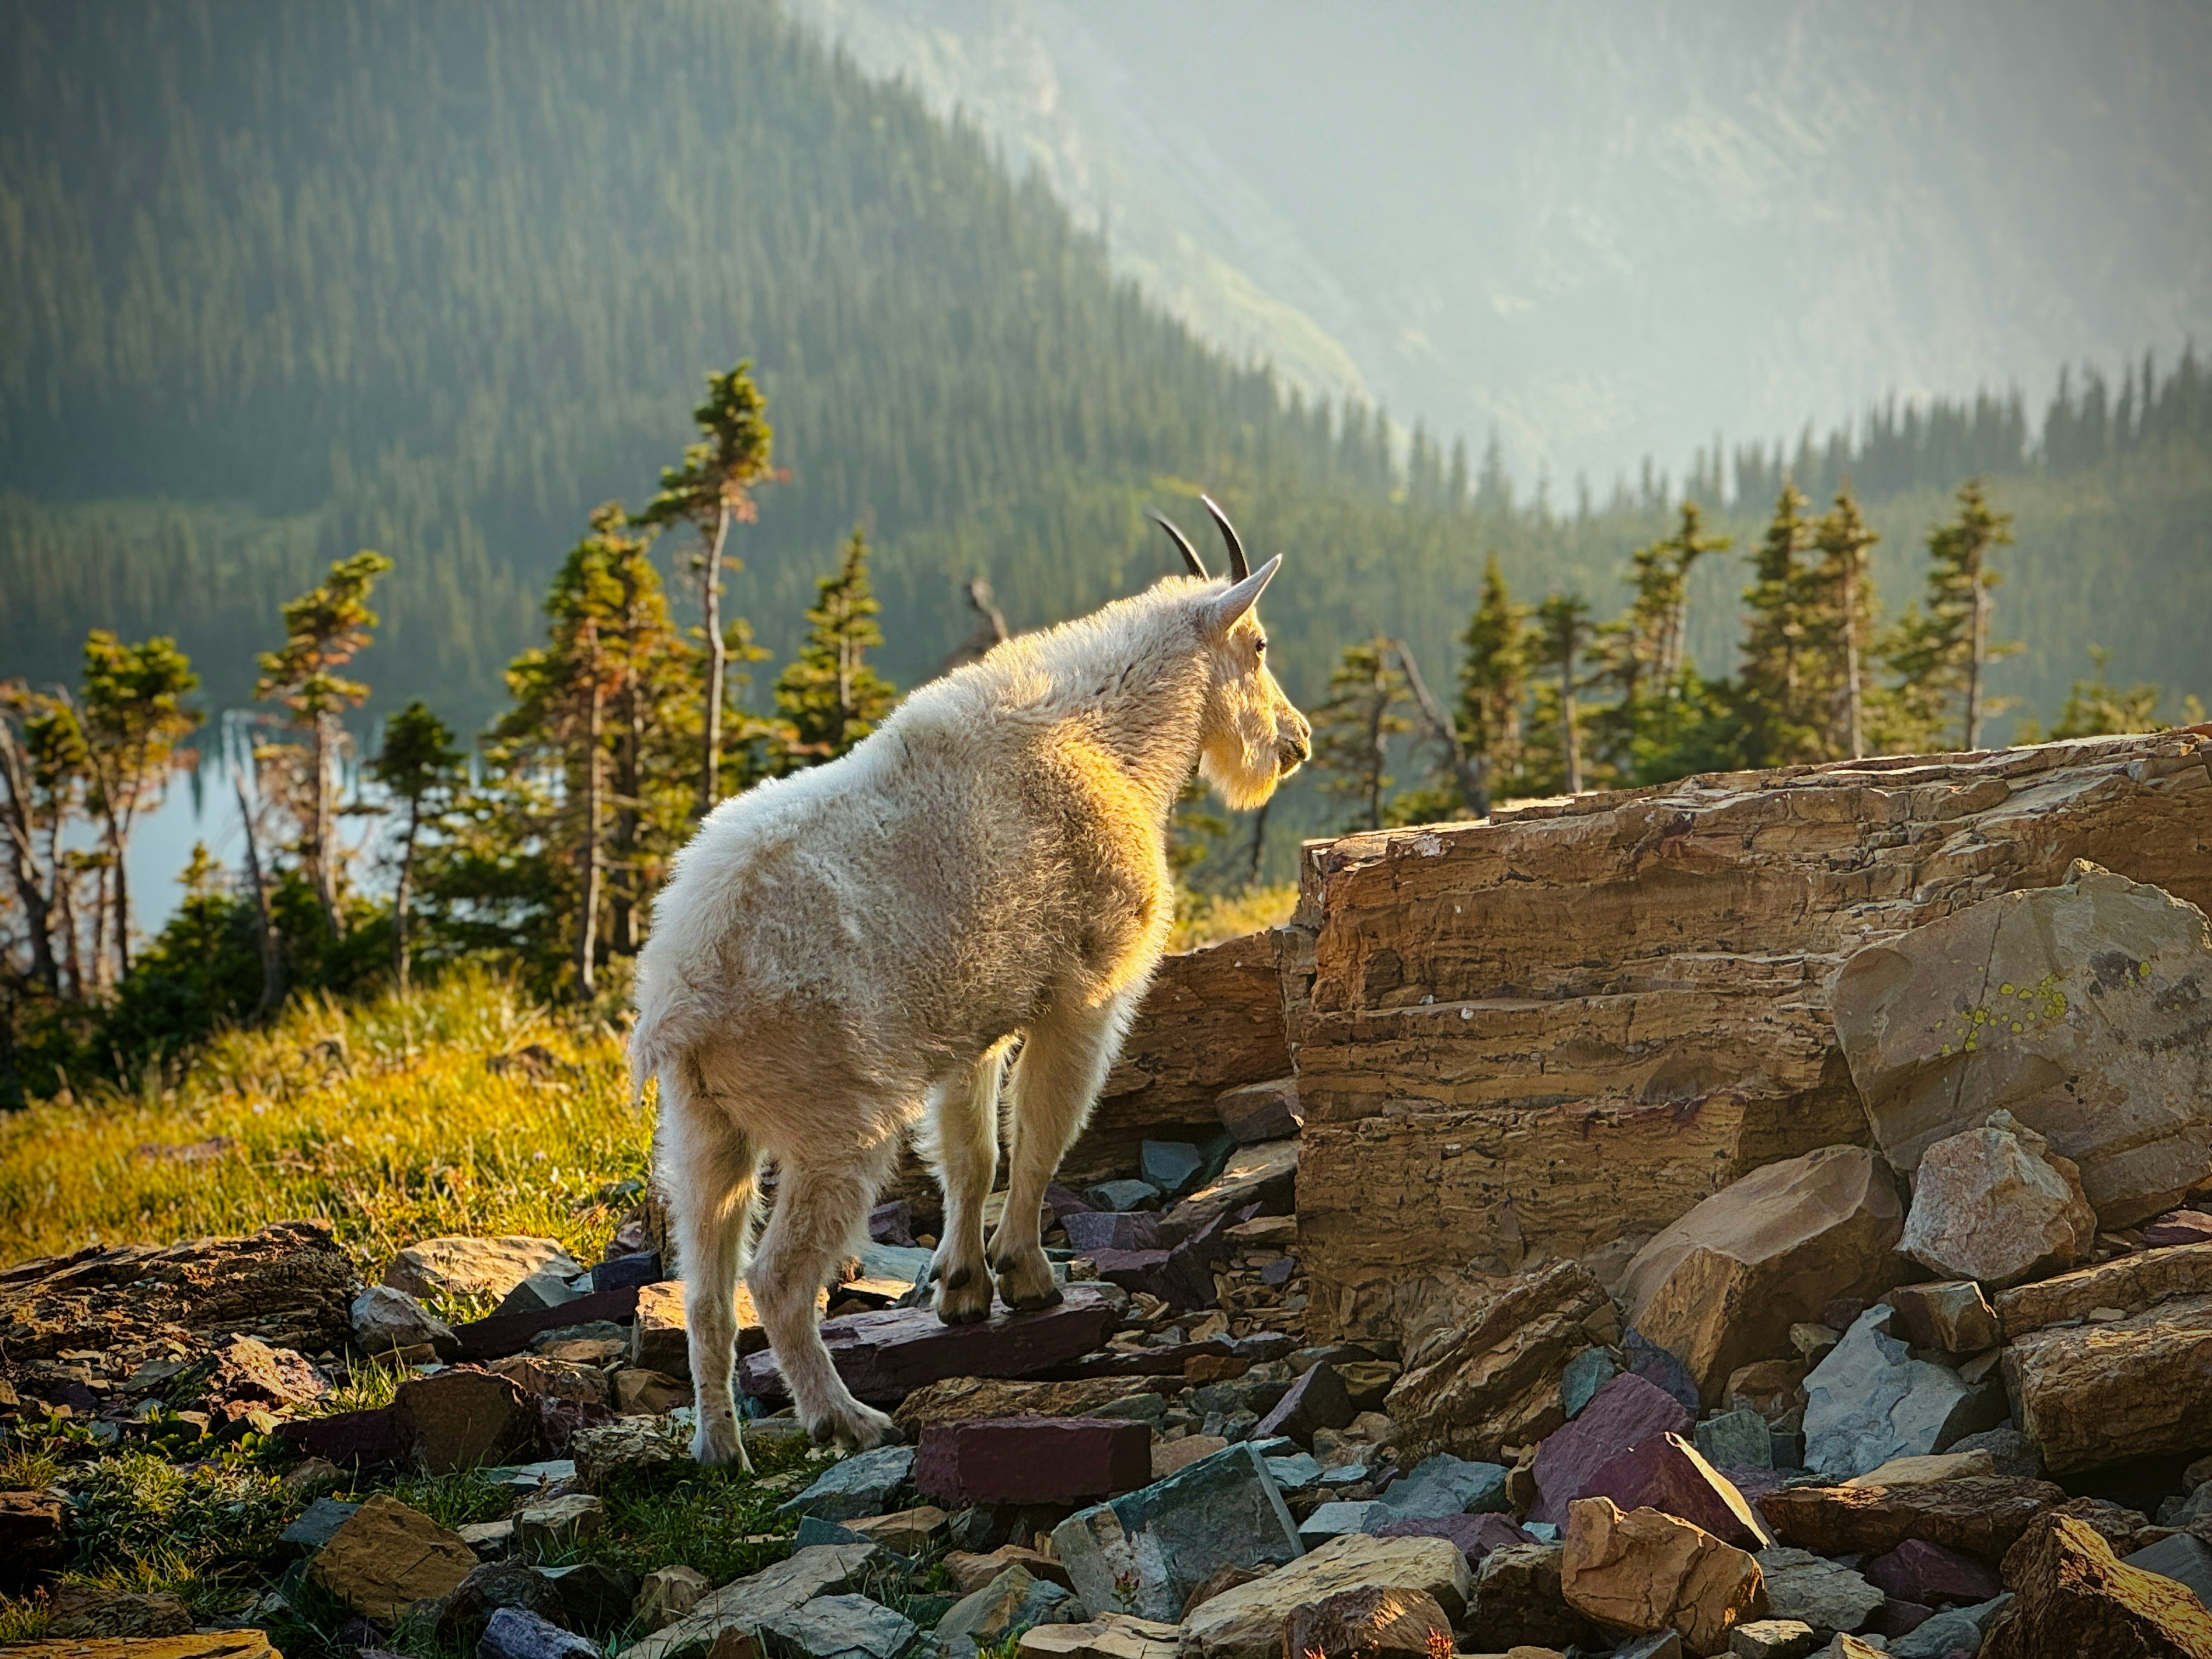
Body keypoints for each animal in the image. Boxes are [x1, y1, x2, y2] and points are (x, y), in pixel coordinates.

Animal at [631, 499, 1311, 1465]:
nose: (1296, 741)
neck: (1110, 740)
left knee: (703, 1284)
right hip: (833, 1124)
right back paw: (845, 1418)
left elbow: (970, 1150)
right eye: (1256, 643)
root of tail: (683, 988)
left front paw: (959, 1287)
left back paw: (721, 1446)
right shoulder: (1084, 994)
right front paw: (1027, 1277)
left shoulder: (970, 1026)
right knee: (776, 1279)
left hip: (702, 1126)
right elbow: (1042, 1133)